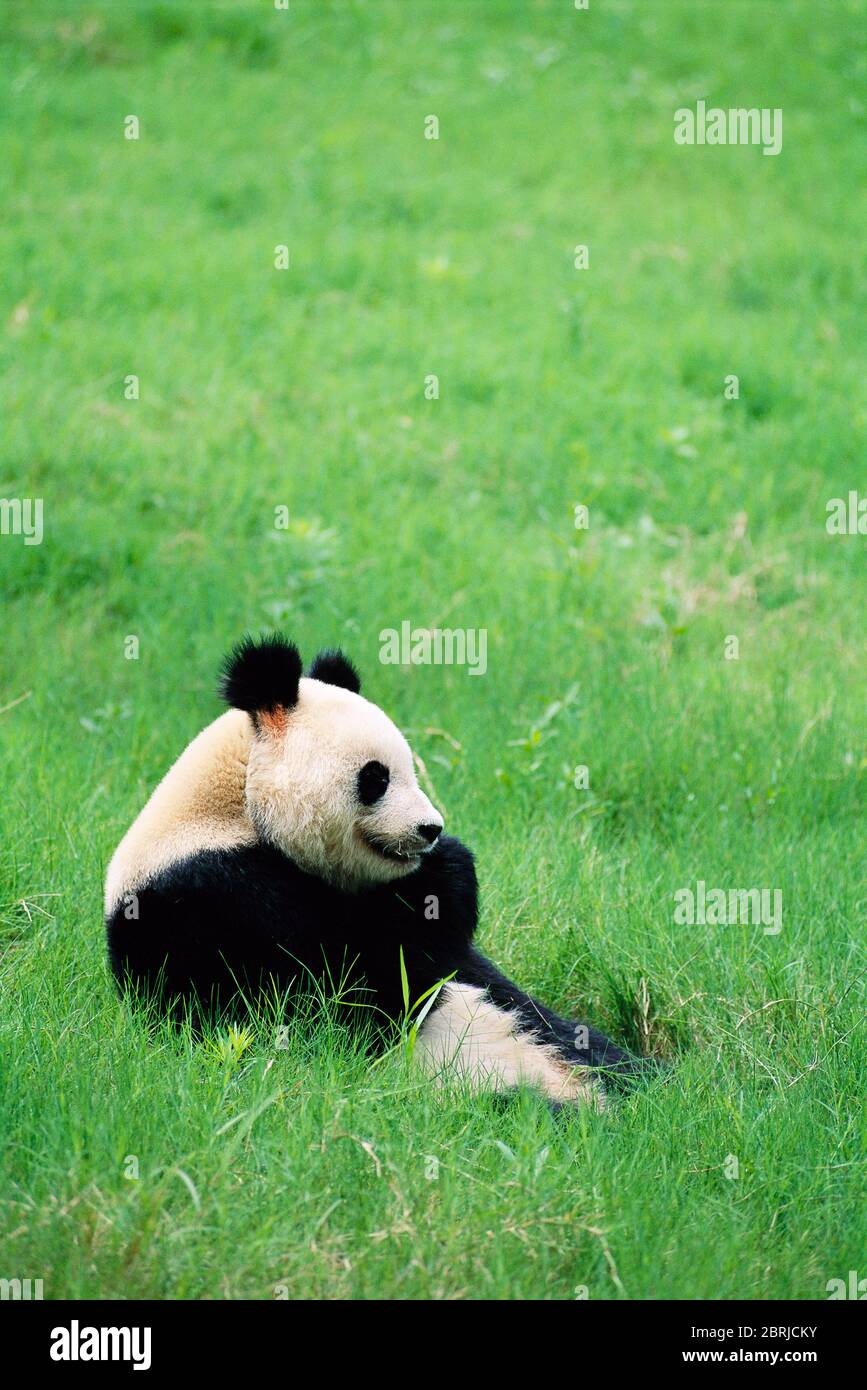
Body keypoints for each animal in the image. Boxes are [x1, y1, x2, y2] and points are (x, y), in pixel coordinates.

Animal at [105, 634, 642, 1106]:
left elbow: (461, 969)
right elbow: (349, 997)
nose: (430, 828)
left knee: (597, 1054)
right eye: (376, 777)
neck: (236, 808)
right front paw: (448, 873)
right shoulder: (214, 902)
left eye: (412, 768)